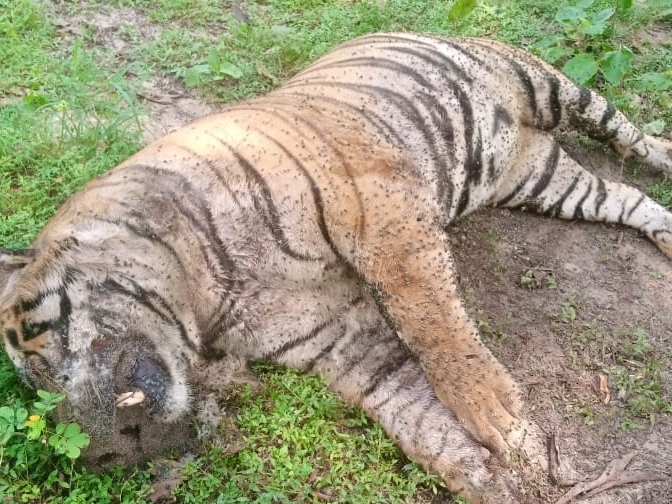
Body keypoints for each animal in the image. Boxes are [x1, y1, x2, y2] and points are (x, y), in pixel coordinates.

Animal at [1, 32, 672, 504]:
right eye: (37, 385)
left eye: (44, 350)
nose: (100, 457)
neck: (205, 299)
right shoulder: (341, 344)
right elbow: (418, 418)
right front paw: (493, 471)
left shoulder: (380, 210)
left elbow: (435, 325)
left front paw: (498, 416)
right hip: (541, 180)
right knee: (624, 197)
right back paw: (666, 233)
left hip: (545, 86)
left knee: (626, 134)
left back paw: (662, 156)